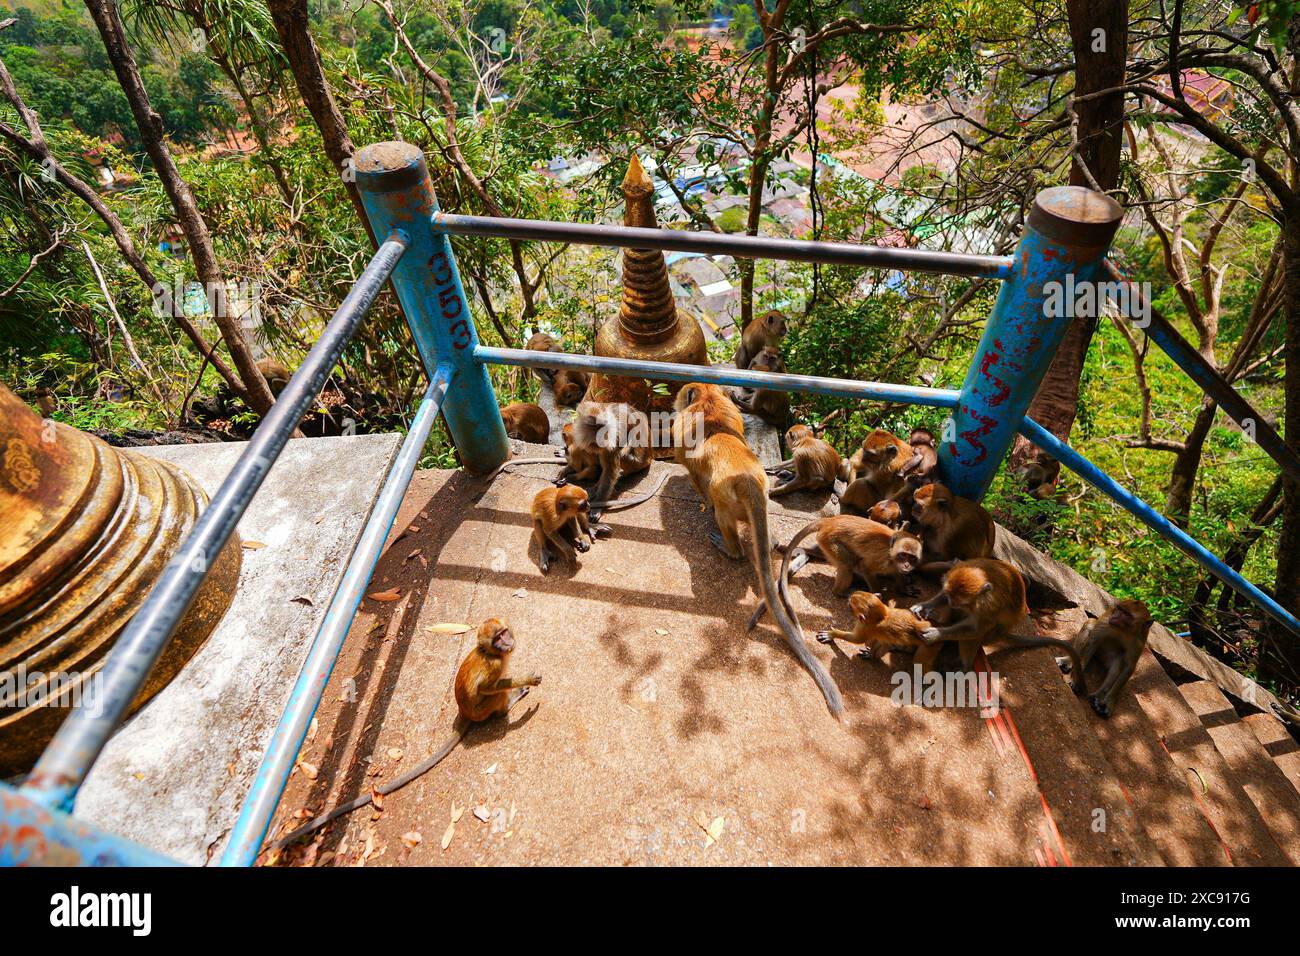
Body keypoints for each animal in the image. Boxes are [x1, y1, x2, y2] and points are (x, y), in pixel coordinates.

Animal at [268, 619, 539, 852]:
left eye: (504, 632)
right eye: (497, 638)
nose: (507, 642)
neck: (492, 654)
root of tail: (464, 713)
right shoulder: (494, 666)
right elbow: (486, 688)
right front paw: (523, 680)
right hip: (481, 711)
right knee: (496, 695)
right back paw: (508, 704)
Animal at [672, 382, 843, 717]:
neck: (708, 401)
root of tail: (748, 480)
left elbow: (692, 472)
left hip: (726, 497)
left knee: (720, 508)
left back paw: (729, 547)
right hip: (760, 495)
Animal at [909, 559, 1085, 692]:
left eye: (960, 600)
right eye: (951, 597)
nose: (952, 603)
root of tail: (1003, 634)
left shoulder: (989, 605)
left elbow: (976, 630)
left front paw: (936, 634)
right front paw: (925, 606)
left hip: (991, 635)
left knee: (976, 634)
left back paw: (964, 667)